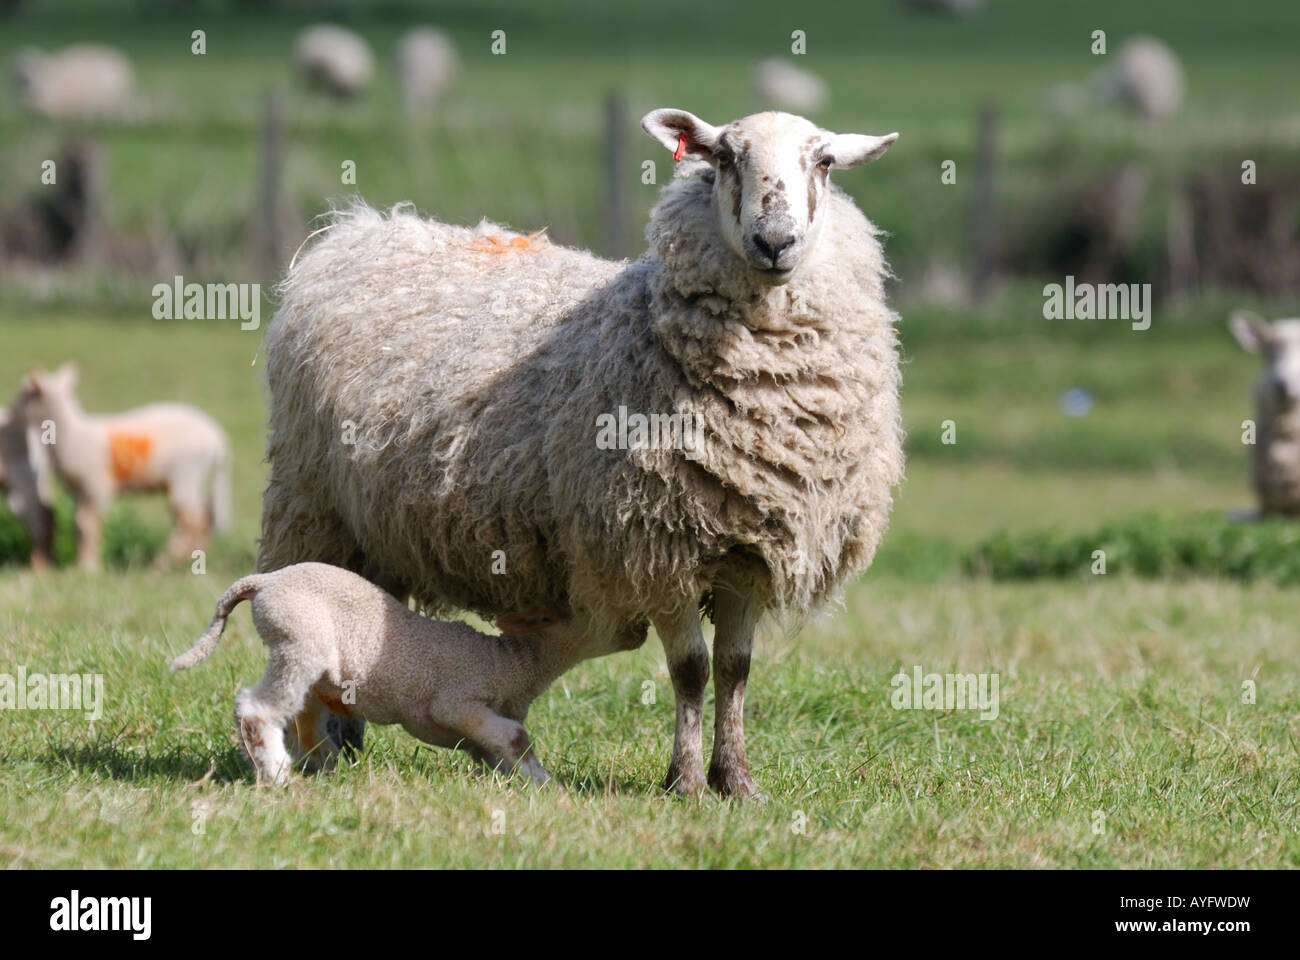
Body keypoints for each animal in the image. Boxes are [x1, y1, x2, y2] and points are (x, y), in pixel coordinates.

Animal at [14, 364, 232, 570]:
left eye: (25, 395)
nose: (13, 415)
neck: (74, 434)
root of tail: (217, 437)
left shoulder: (97, 486)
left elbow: (86, 523)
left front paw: (88, 566)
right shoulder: (80, 490)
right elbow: (78, 523)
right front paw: (84, 562)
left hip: (185, 474)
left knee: (191, 521)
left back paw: (163, 563)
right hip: (194, 478)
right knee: (204, 515)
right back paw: (194, 555)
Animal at [169, 562, 621, 786]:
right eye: (588, 610)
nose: (634, 630)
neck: (513, 664)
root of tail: (263, 580)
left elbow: (497, 748)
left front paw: (520, 780)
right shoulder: (457, 699)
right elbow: (515, 737)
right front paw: (548, 784)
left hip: (305, 657)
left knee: (305, 720)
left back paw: (329, 769)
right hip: (299, 639)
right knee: (256, 709)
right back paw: (276, 775)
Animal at [259, 108, 903, 797]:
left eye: (825, 162)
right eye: (725, 157)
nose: (775, 241)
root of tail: (358, 230)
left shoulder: (750, 553)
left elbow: (735, 669)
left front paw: (737, 782)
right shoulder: (653, 547)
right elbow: (691, 670)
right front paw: (685, 783)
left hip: (374, 525)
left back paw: (349, 743)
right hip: (311, 505)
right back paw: (320, 749)